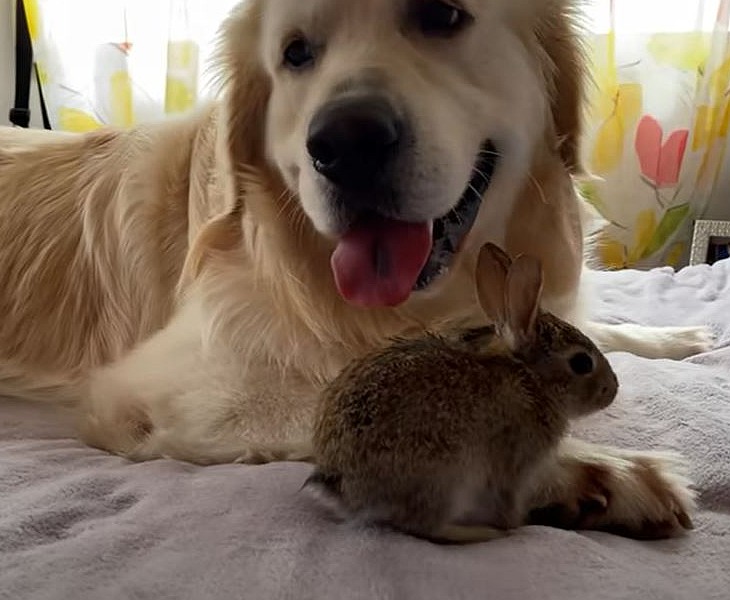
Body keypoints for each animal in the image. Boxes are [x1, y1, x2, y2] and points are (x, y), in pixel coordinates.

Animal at [303, 242, 619, 544]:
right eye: (581, 363)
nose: (613, 390)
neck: (531, 378)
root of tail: (344, 488)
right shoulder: (514, 466)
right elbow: (508, 504)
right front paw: (516, 524)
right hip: (446, 478)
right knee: (424, 527)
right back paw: (480, 533)